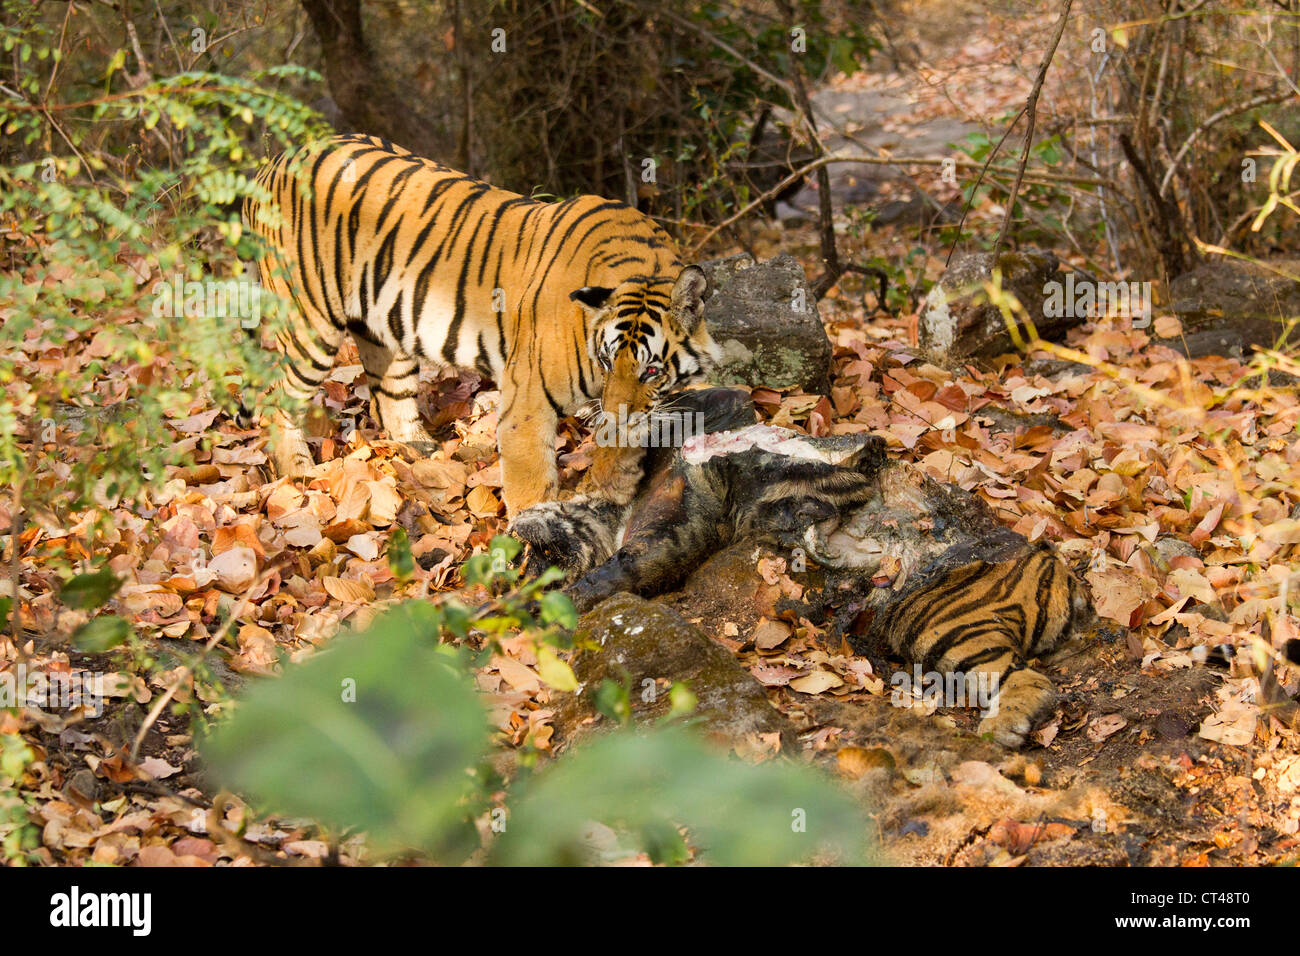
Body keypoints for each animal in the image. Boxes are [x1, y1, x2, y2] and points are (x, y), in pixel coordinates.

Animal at [240, 133, 721, 515]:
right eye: (605, 362)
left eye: (651, 370)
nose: (620, 414)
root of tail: (271, 163)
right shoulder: (527, 401)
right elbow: (532, 484)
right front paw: (534, 539)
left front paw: (613, 483)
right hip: (309, 323)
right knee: (275, 395)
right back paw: (299, 473)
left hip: (384, 331)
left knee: (390, 395)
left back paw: (423, 451)